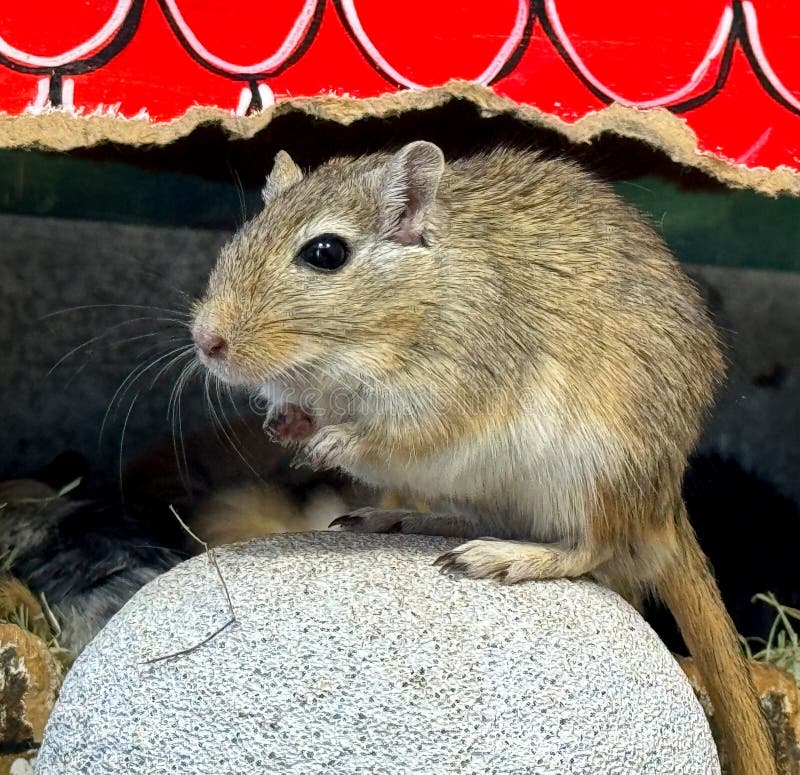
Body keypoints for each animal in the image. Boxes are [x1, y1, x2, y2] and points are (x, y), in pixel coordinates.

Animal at [191, 141, 775, 775]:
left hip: (591, 470)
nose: (206, 342)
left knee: (592, 549)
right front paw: (285, 423)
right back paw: (401, 519)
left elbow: (388, 437)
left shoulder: (450, 391)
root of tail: (666, 508)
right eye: (239, 237)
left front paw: (330, 443)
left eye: (325, 253)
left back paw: (503, 558)